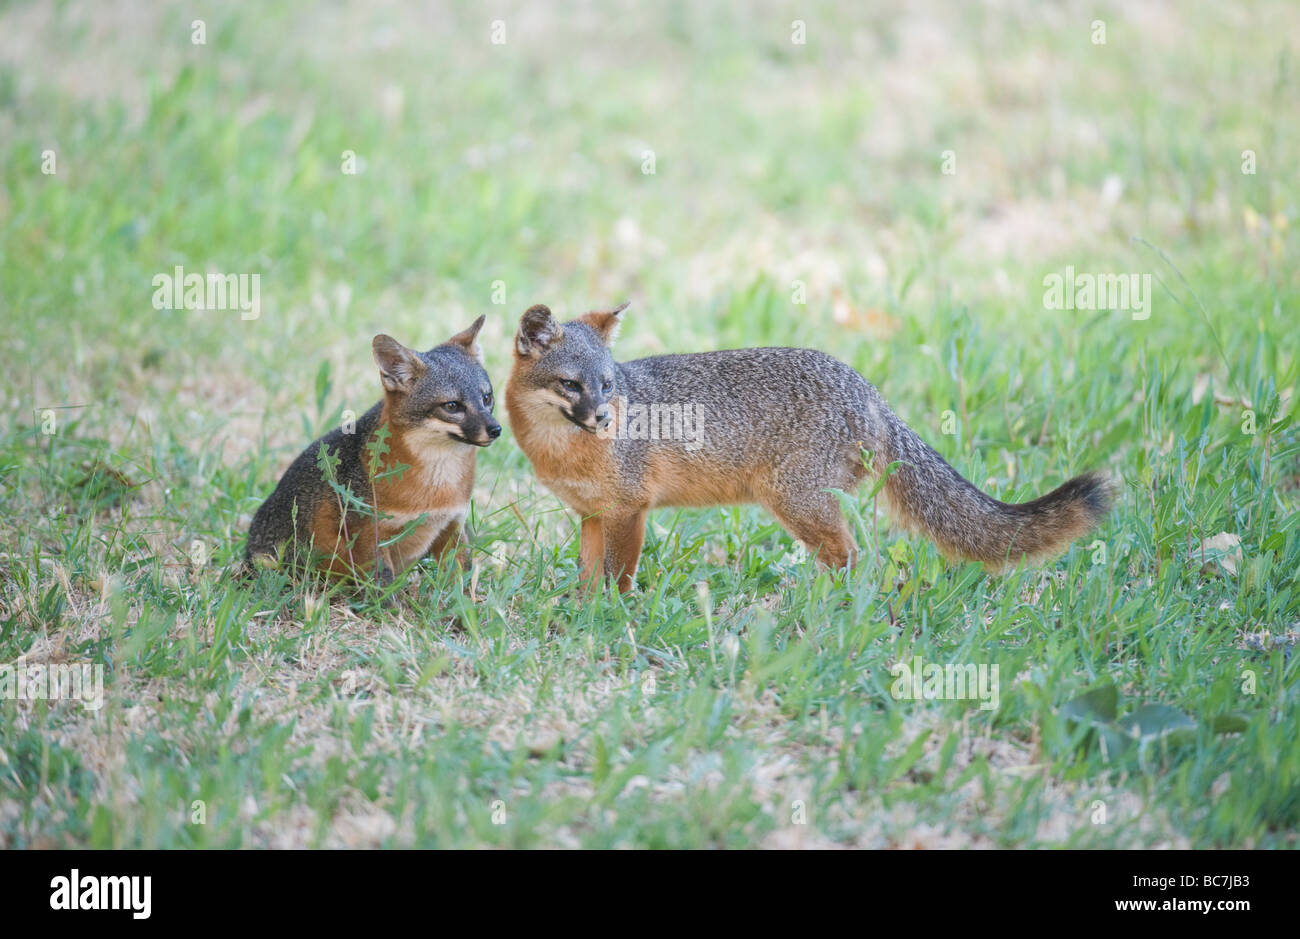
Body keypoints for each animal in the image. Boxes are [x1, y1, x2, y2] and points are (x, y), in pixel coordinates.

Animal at [245, 316, 500, 584]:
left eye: (486, 398)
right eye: (452, 406)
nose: (496, 429)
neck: (438, 487)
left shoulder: (452, 525)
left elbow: (460, 582)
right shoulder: (369, 535)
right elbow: (383, 587)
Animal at [505, 302, 1115, 593]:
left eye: (608, 384)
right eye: (571, 385)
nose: (605, 417)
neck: (560, 451)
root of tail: (870, 392)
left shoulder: (630, 510)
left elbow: (618, 578)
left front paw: (614, 618)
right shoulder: (592, 516)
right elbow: (588, 578)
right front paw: (583, 615)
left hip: (797, 504)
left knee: (856, 560)